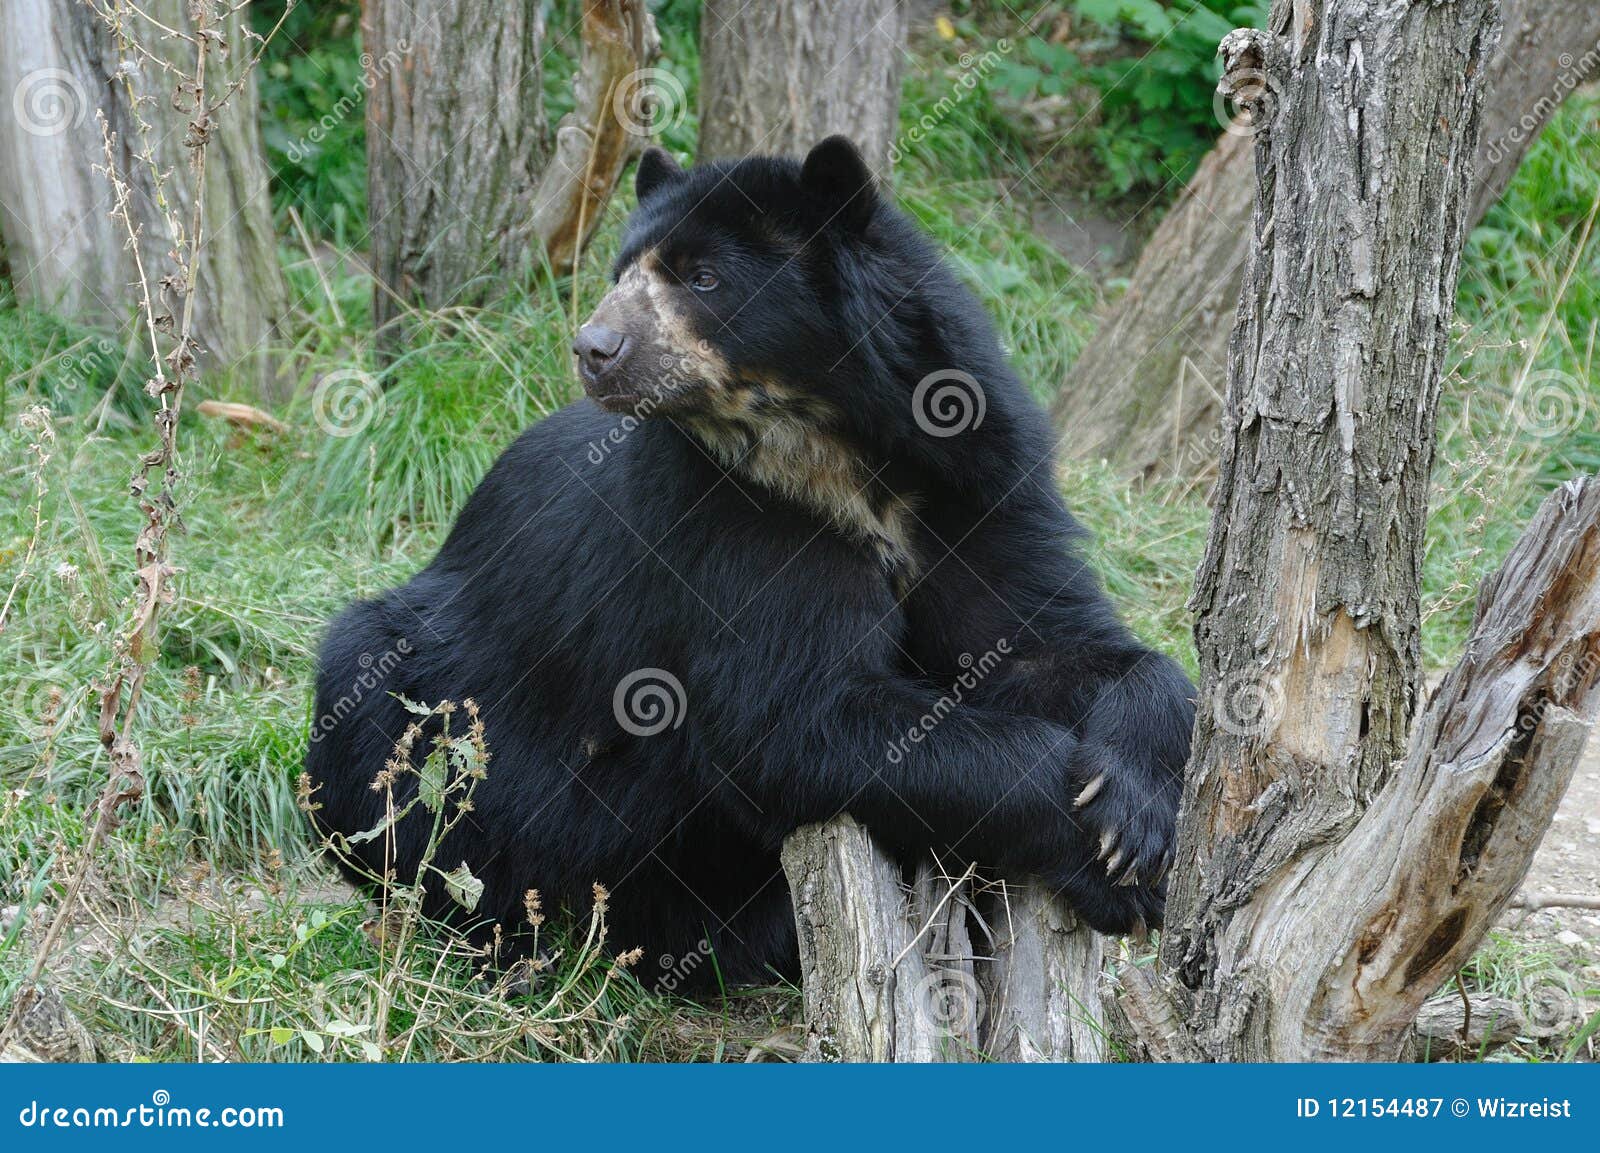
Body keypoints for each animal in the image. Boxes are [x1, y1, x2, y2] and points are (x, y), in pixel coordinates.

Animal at [305, 136, 1196, 986]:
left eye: (703, 278)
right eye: (622, 275)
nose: (594, 347)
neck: (828, 449)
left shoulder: (976, 489)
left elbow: (1052, 642)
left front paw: (1131, 817)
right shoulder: (722, 529)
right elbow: (792, 717)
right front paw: (1107, 865)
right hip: (440, 695)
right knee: (388, 755)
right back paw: (514, 943)